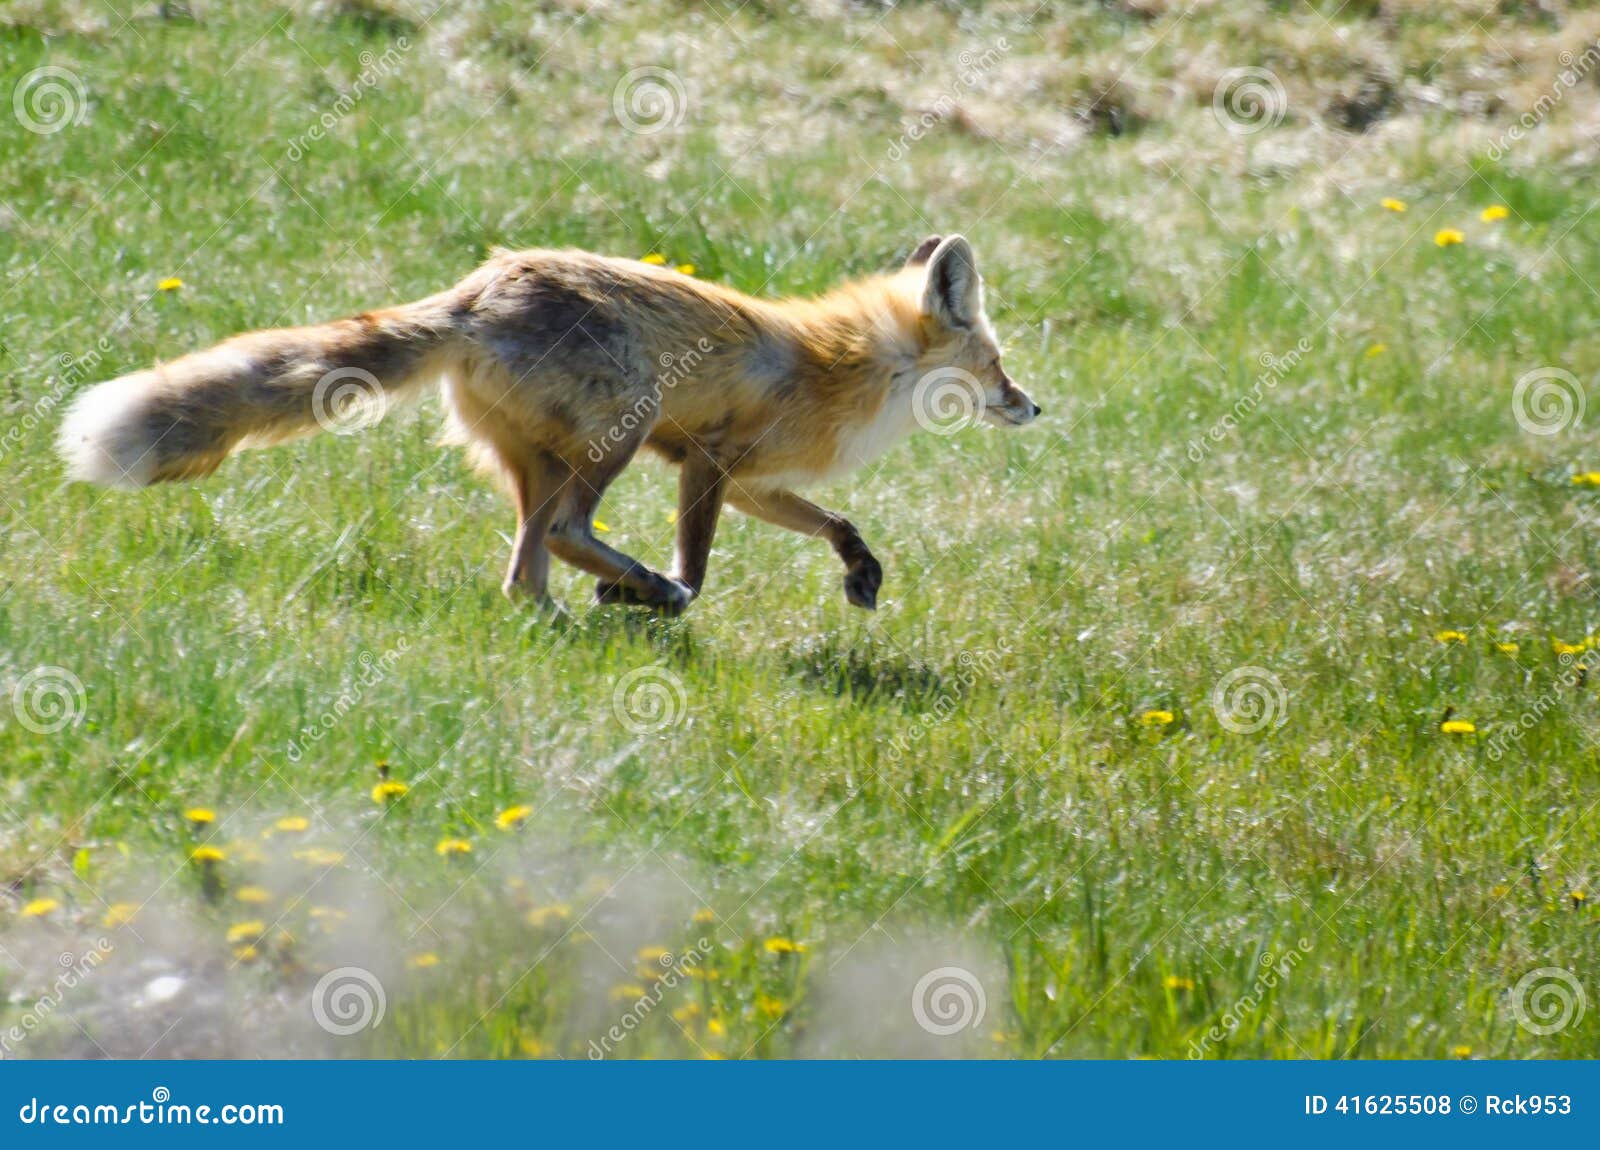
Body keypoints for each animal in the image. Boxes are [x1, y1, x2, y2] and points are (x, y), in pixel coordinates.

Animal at [58, 234, 1039, 614]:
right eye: (998, 366)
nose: (1035, 405)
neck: (849, 366)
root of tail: (478, 290)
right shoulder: (707, 459)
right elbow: (701, 566)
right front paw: (661, 591)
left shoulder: (753, 481)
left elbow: (835, 521)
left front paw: (860, 570)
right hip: (619, 431)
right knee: (567, 535)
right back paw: (638, 593)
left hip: (540, 462)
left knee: (523, 571)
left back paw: (564, 614)